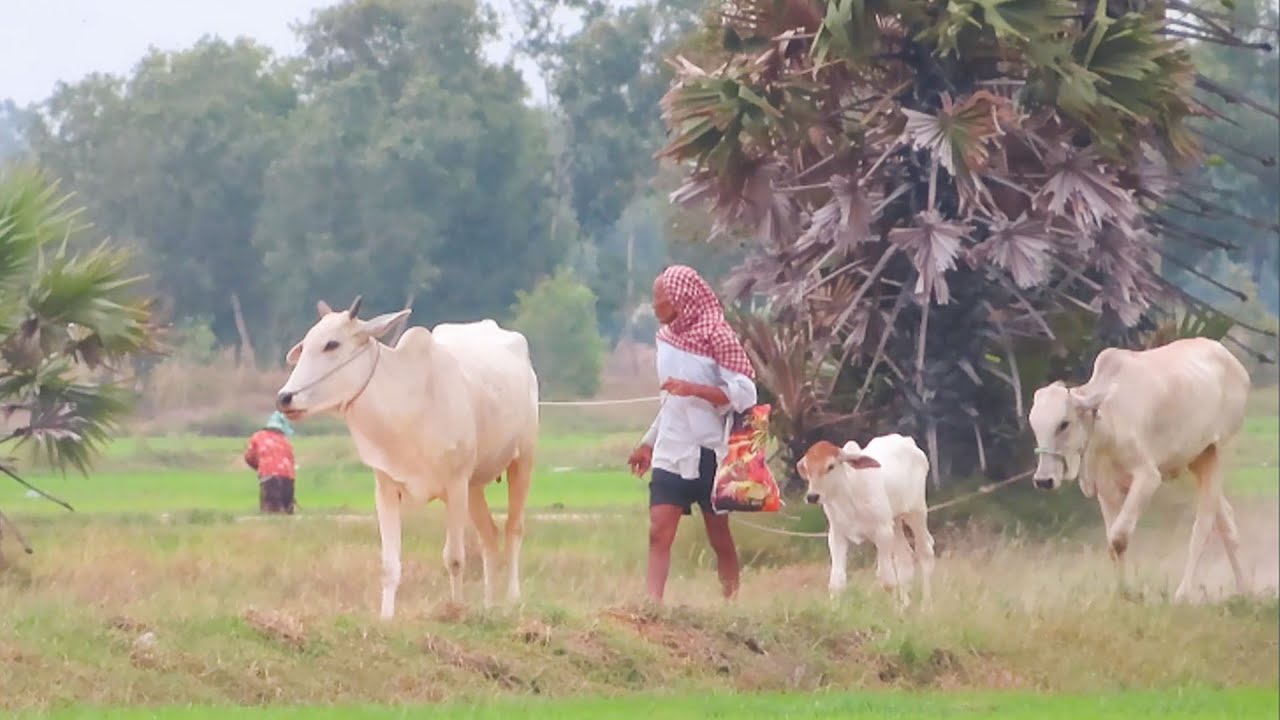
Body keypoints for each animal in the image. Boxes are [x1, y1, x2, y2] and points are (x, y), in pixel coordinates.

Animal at [276, 296, 539, 619]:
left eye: (332, 344)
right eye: (305, 345)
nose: (285, 397)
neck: (409, 405)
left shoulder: (455, 485)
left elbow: (454, 558)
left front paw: (456, 611)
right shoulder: (387, 488)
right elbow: (389, 565)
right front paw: (386, 618)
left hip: (521, 462)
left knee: (514, 528)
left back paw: (513, 599)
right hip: (474, 485)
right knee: (489, 535)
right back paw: (490, 604)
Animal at [796, 434, 935, 607]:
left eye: (830, 466)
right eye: (807, 468)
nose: (812, 496)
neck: (848, 496)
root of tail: (907, 440)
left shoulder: (883, 532)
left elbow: (887, 581)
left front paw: (893, 611)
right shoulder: (836, 536)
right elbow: (837, 582)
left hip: (916, 512)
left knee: (925, 552)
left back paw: (926, 605)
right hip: (895, 521)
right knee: (904, 558)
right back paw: (905, 605)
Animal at [1028, 336, 1251, 602]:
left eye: (1063, 424)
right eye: (1033, 425)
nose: (1043, 480)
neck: (1108, 420)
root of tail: (1231, 360)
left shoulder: (1148, 477)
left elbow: (1119, 538)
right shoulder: (1106, 488)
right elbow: (1113, 543)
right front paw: (1123, 592)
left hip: (1220, 451)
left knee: (1204, 524)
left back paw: (1183, 593)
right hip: (1199, 460)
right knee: (1225, 520)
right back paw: (1244, 589)